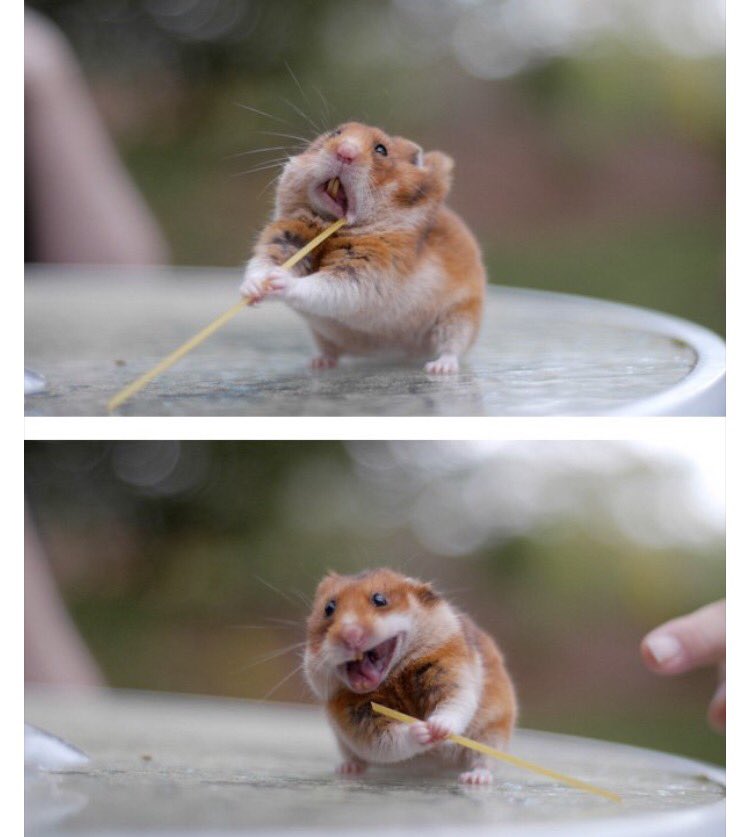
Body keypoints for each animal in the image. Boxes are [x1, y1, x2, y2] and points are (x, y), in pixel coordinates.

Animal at [240, 122, 486, 374]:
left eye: (381, 150)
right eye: (336, 133)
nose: (344, 152)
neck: (329, 226)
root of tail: (400, 353)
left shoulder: (366, 272)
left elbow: (321, 285)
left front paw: (279, 281)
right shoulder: (284, 241)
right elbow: (262, 264)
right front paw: (253, 289)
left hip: (459, 317)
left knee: (452, 347)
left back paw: (439, 367)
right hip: (322, 335)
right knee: (331, 351)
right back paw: (319, 363)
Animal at [304, 568, 517, 785]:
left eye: (379, 600)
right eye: (328, 608)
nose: (350, 634)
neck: (392, 677)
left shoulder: (453, 673)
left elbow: (454, 705)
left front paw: (436, 729)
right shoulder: (358, 722)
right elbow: (389, 739)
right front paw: (422, 730)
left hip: (492, 732)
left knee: (484, 760)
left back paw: (474, 778)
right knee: (357, 759)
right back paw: (347, 769)